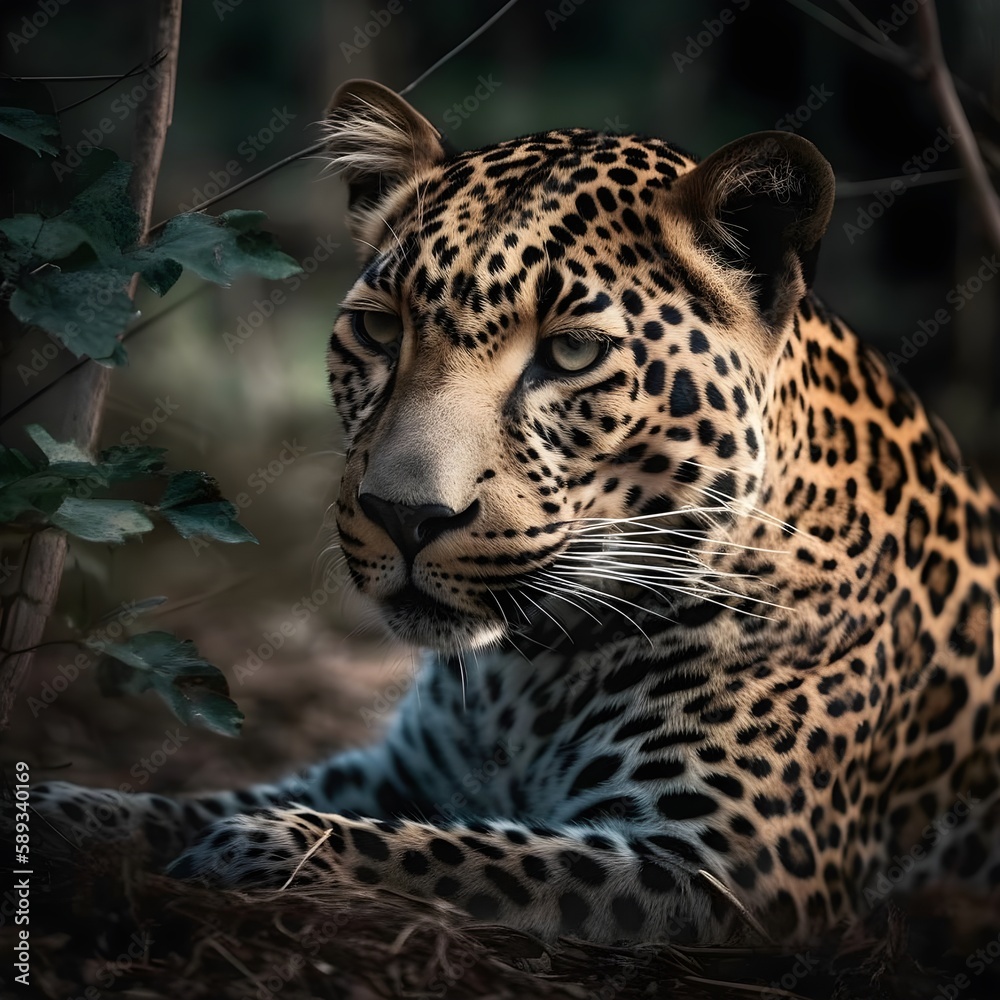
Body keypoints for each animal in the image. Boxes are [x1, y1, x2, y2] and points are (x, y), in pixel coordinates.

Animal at [32, 78, 1000, 946]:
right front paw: (62, 811)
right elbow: (201, 800)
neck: (522, 678)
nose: (403, 514)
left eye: (569, 354)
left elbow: (459, 854)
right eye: (381, 330)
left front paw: (267, 847)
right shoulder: (393, 772)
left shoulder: (734, 868)